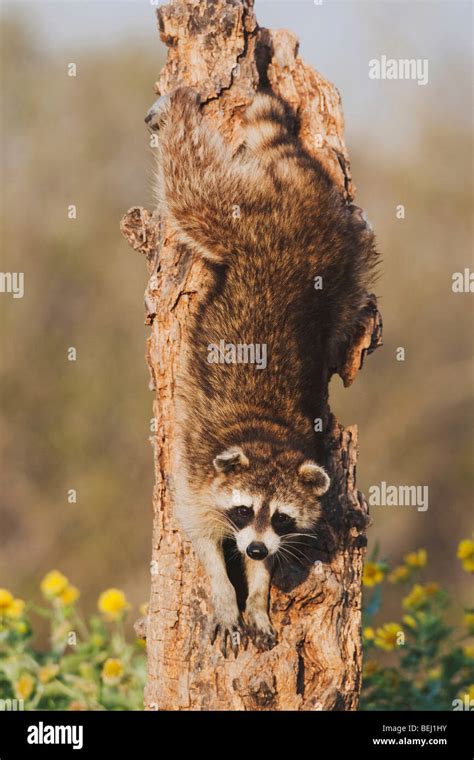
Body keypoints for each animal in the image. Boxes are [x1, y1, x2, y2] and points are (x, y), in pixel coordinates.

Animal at [146, 87, 377, 655]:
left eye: (282, 517)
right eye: (244, 511)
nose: (251, 549)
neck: (265, 436)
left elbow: (270, 560)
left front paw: (257, 592)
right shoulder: (194, 469)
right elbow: (203, 538)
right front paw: (225, 594)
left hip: (344, 262)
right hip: (248, 218)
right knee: (193, 190)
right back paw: (179, 108)